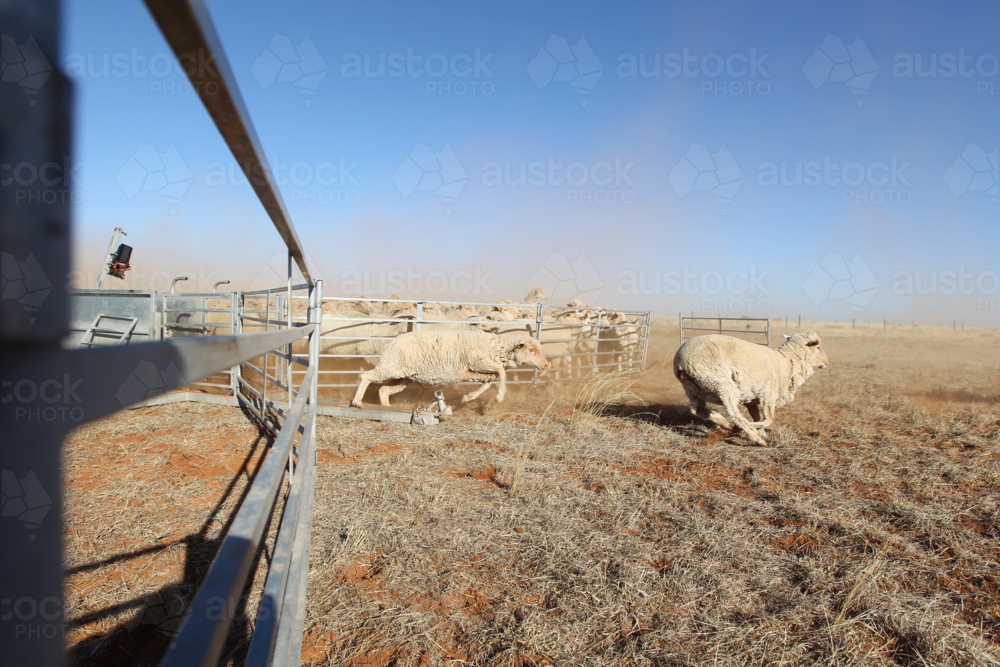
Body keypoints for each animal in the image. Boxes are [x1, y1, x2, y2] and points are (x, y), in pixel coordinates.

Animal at [350, 330, 550, 407]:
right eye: (532, 350)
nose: (546, 365)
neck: (494, 347)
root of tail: (390, 343)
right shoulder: (478, 362)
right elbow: (500, 371)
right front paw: (500, 396)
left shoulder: (472, 371)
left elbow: (489, 380)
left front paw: (468, 398)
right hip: (390, 366)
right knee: (367, 376)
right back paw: (357, 402)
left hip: (403, 376)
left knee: (384, 390)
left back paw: (387, 408)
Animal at [673, 331, 830, 446]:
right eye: (818, 347)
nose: (827, 362)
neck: (786, 363)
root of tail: (681, 362)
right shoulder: (768, 394)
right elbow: (768, 419)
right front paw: (754, 429)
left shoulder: (752, 398)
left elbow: (757, 415)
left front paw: (761, 432)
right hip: (722, 384)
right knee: (734, 413)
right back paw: (754, 437)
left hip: (693, 388)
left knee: (697, 409)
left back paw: (724, 422)